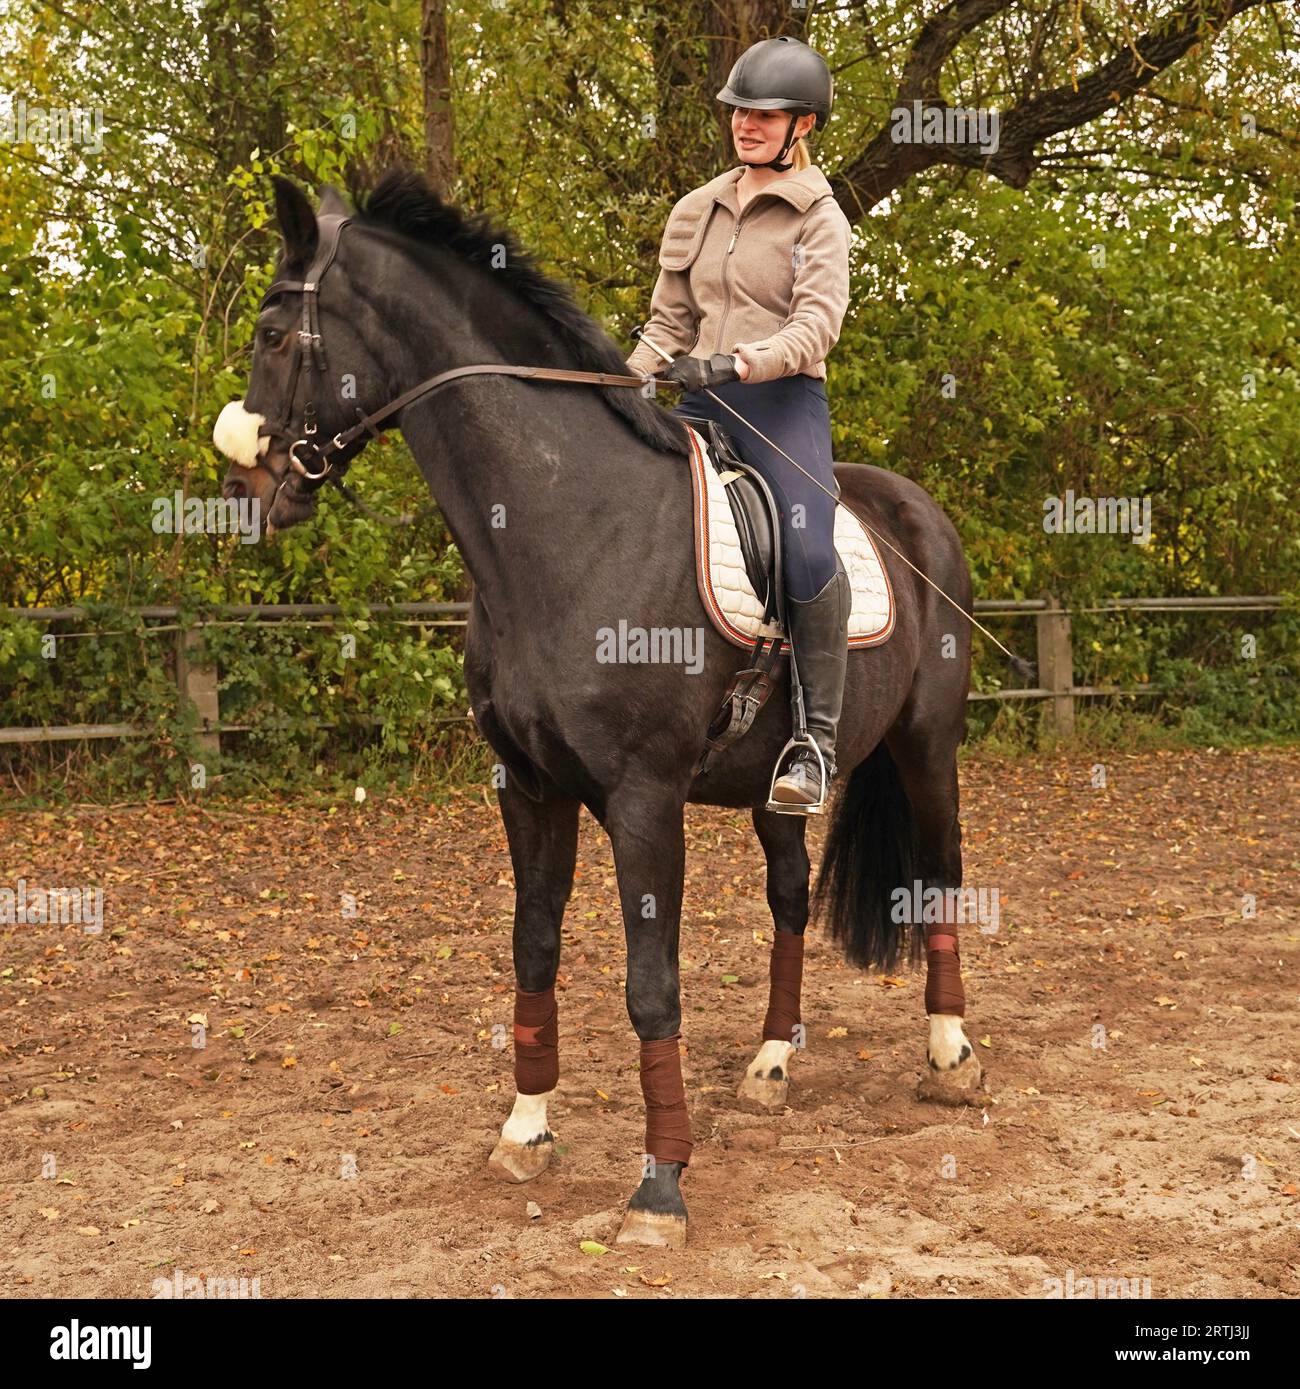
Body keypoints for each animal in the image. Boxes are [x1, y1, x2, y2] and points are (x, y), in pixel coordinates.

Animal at [214, 172, 983, 1249]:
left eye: (275, 332)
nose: (246, 482)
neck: (565, 523)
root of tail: (915, 510)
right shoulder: (528, 788)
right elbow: (533, 950)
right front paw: (526, 1129)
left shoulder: (643, 800)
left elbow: (650, 985)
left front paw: (660, 1184)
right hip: (773, 788)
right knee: (789, 897)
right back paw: (771, 1064)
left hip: (926, 748)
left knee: (942, 875)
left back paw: (951, 1056)